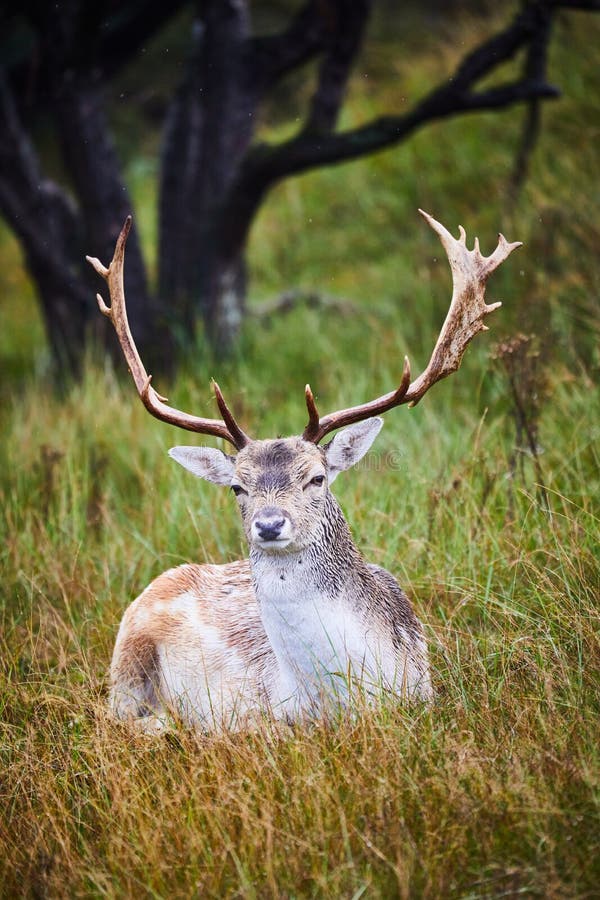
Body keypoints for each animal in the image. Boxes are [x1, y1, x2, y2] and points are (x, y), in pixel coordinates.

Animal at [87, 211, 520, 732]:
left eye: (317, 478)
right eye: (237, 487)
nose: (270, 524)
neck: (339, 698)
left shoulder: (425, 695)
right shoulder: (256, 719)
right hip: (125, 656)